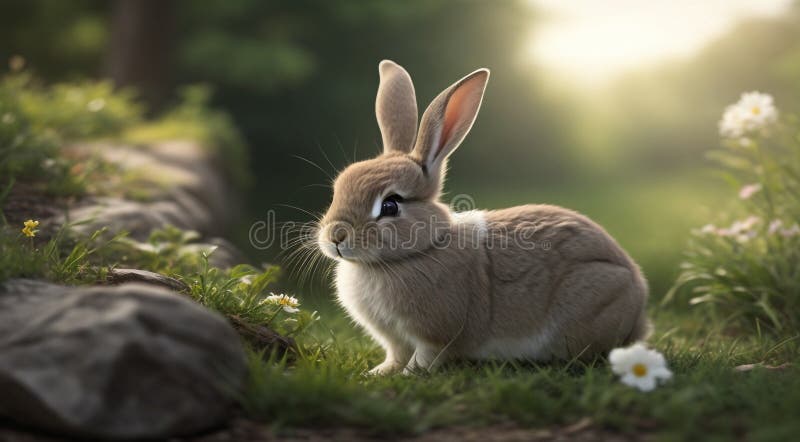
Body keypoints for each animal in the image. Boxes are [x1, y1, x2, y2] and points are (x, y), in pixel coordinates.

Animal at [316, 60, 650, 375]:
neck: (419, 251)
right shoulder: (394, 339)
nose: (336, 237)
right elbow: (394, 356)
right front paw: (376, 374)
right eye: (338, 188)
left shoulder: (435, 333)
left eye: (390, 206)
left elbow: (424, 358)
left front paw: (406, 375)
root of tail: (638, 302)